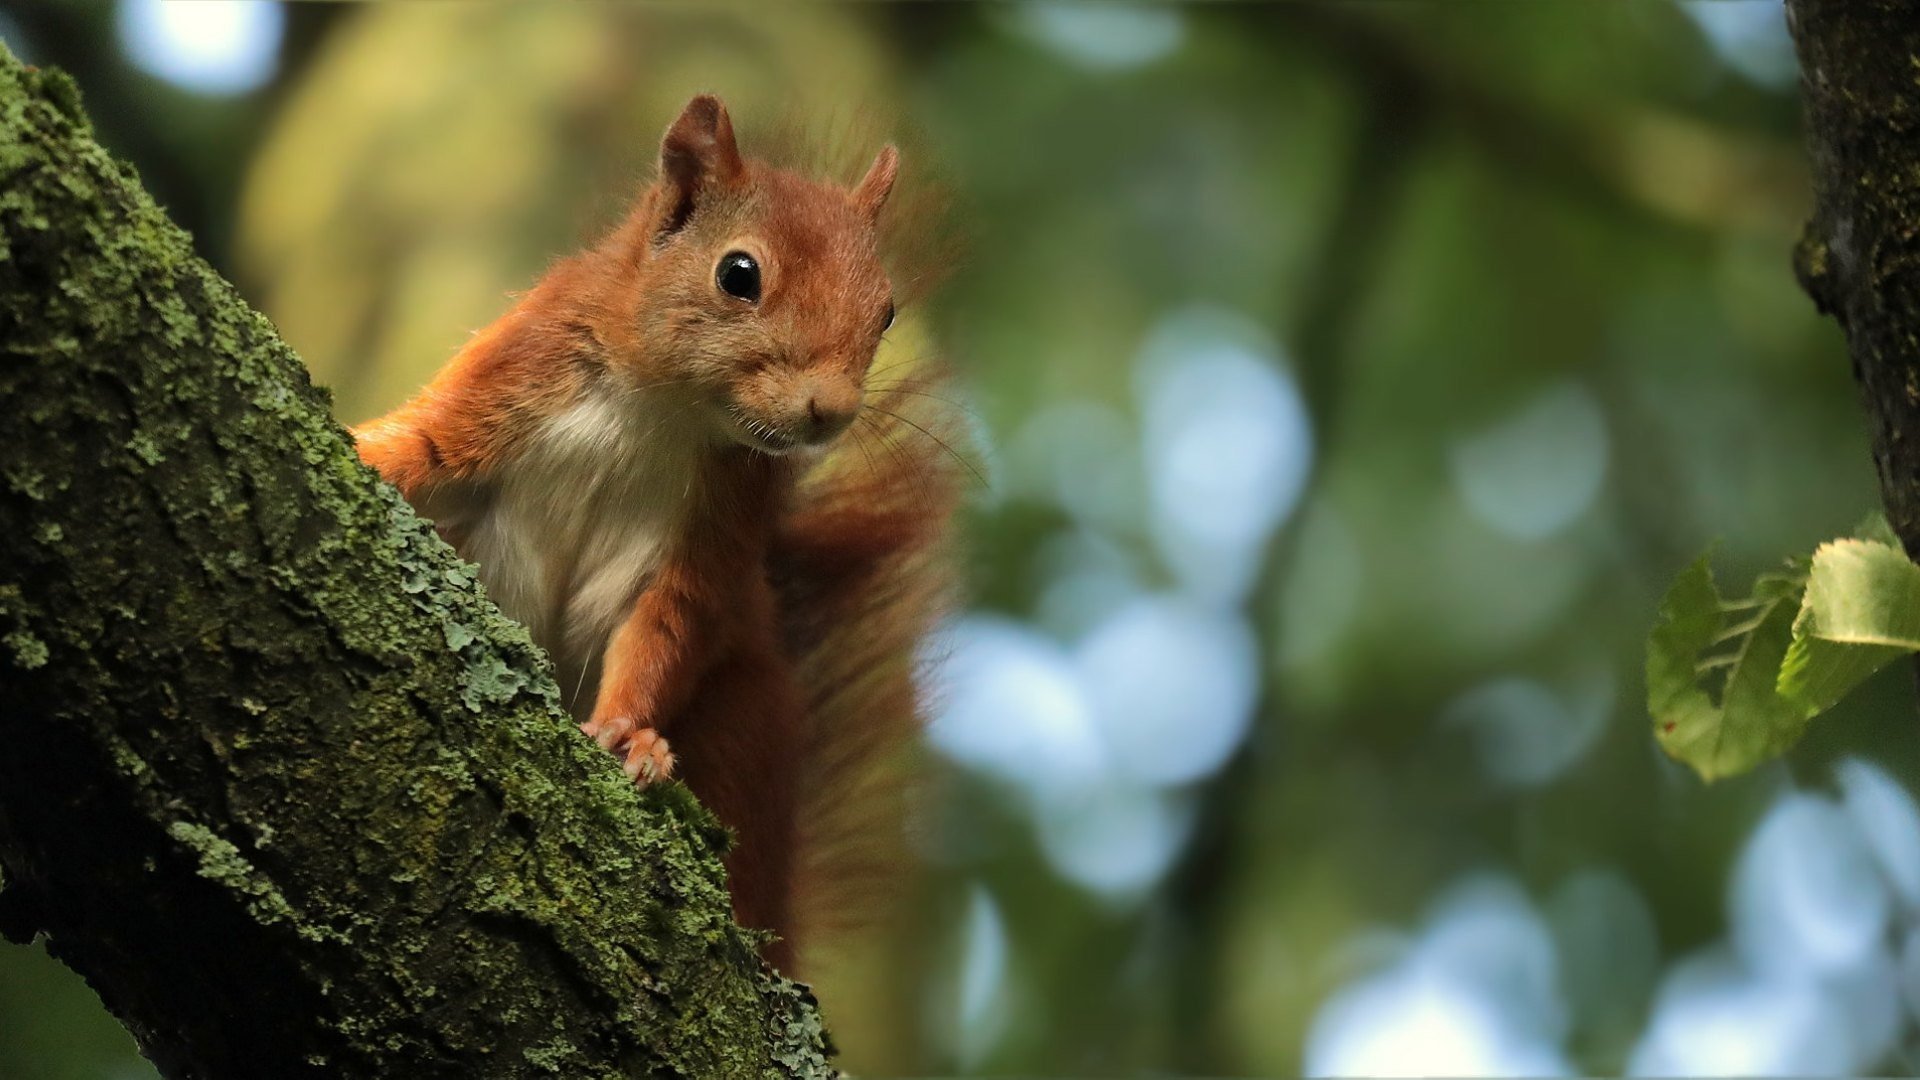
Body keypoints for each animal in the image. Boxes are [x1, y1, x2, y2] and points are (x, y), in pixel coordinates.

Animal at [350, 94, 959, 975]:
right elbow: (419, 447)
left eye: (886, 311)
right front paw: (359, 445)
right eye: (738, 274)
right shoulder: (508, 377)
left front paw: (628, 735)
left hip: (741, 731)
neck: (662, 403)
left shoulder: (714, 527)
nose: (830, 411)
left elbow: (664, 626)